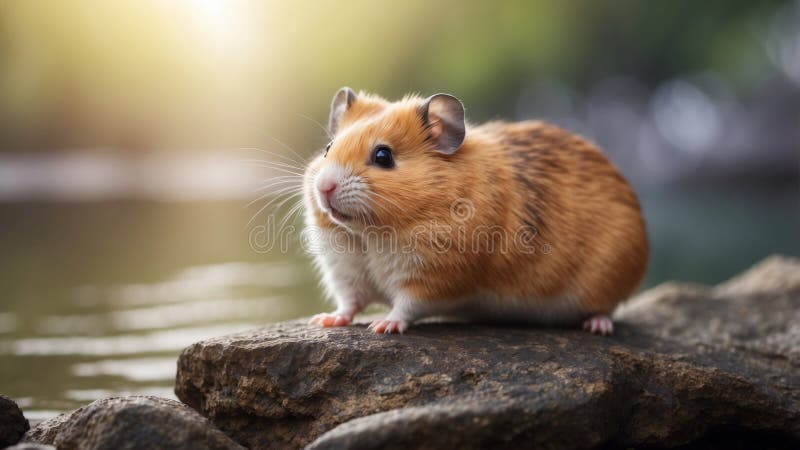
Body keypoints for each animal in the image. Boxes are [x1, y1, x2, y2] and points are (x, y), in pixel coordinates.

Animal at [303, 87, 648, 335]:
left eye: (383, 156)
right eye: (328, 148)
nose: (324, 187)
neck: (370, 235)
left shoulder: (433, 279)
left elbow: (405, 307)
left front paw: (383, 326)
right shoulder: (347, 274)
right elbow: (349, 303)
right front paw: (323, 320)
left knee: (607, 308)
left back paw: (598, 327)